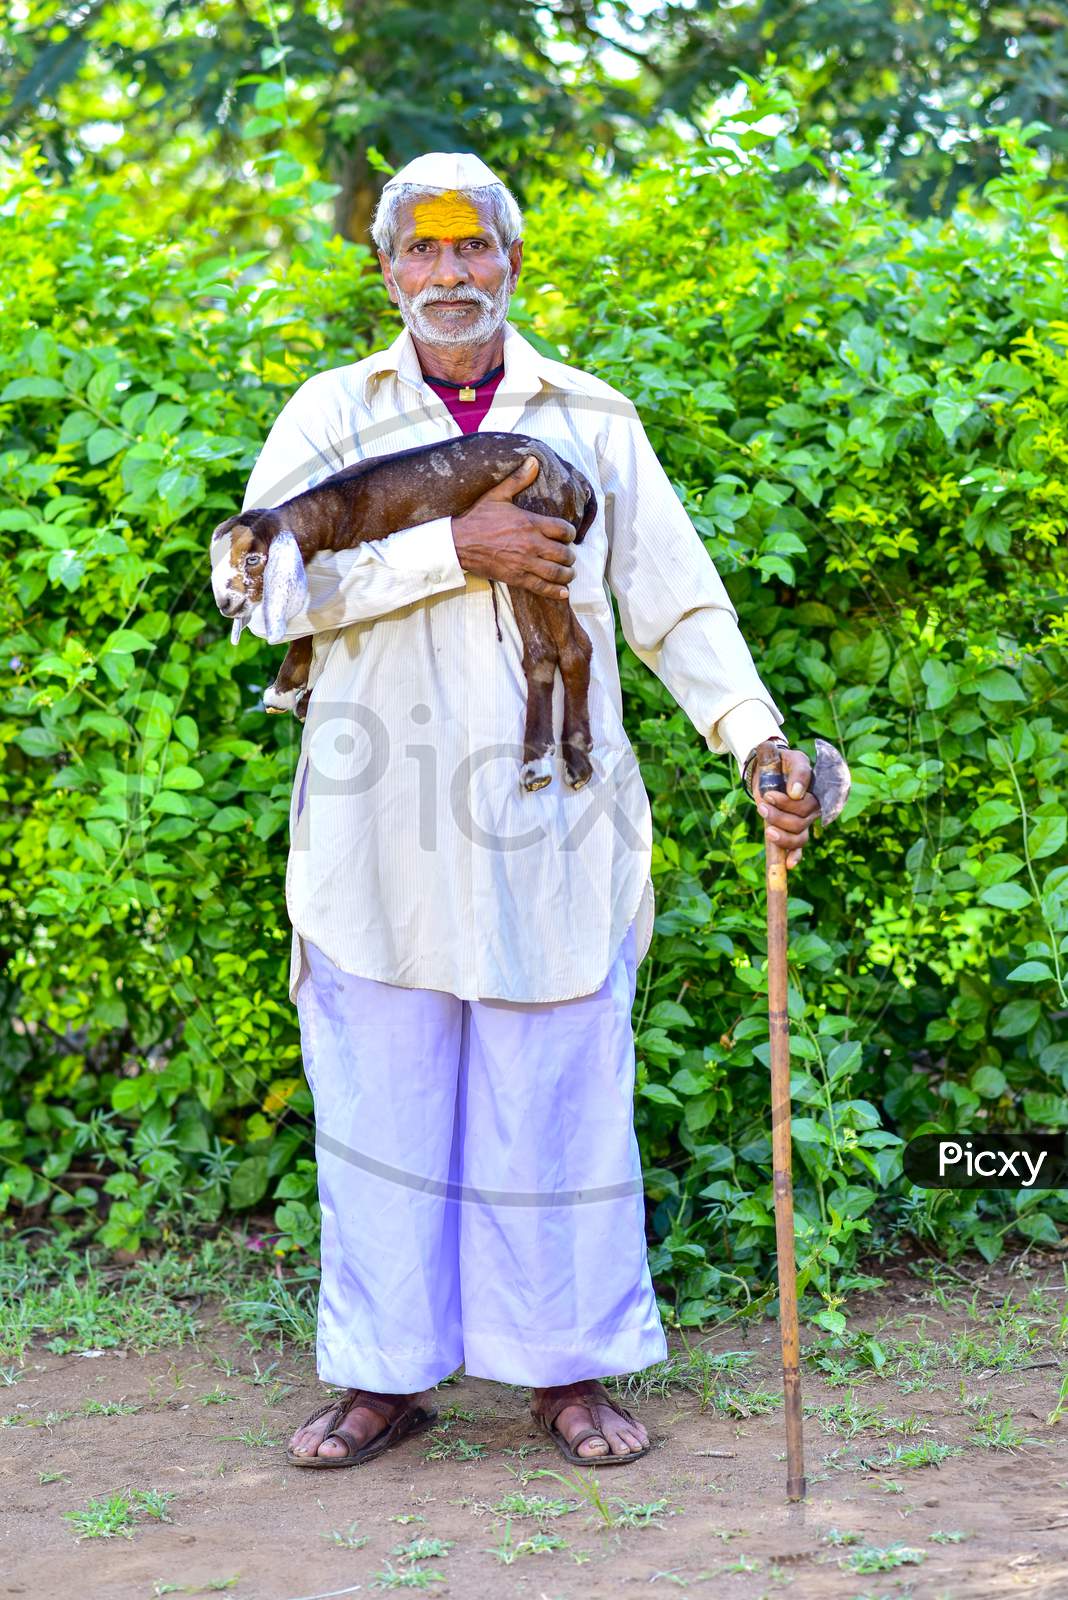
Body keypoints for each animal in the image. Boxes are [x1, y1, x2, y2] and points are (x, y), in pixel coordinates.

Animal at [210, 432, 598, 792]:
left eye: (253, 559)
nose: (225, 604)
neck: (336, 506)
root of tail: (573, 475)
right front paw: (297, 693)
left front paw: (286, 690)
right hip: (528, 566)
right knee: (543, 651)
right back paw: (538, 764)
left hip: (544, 538)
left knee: (573, 647)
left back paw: (574, 761)